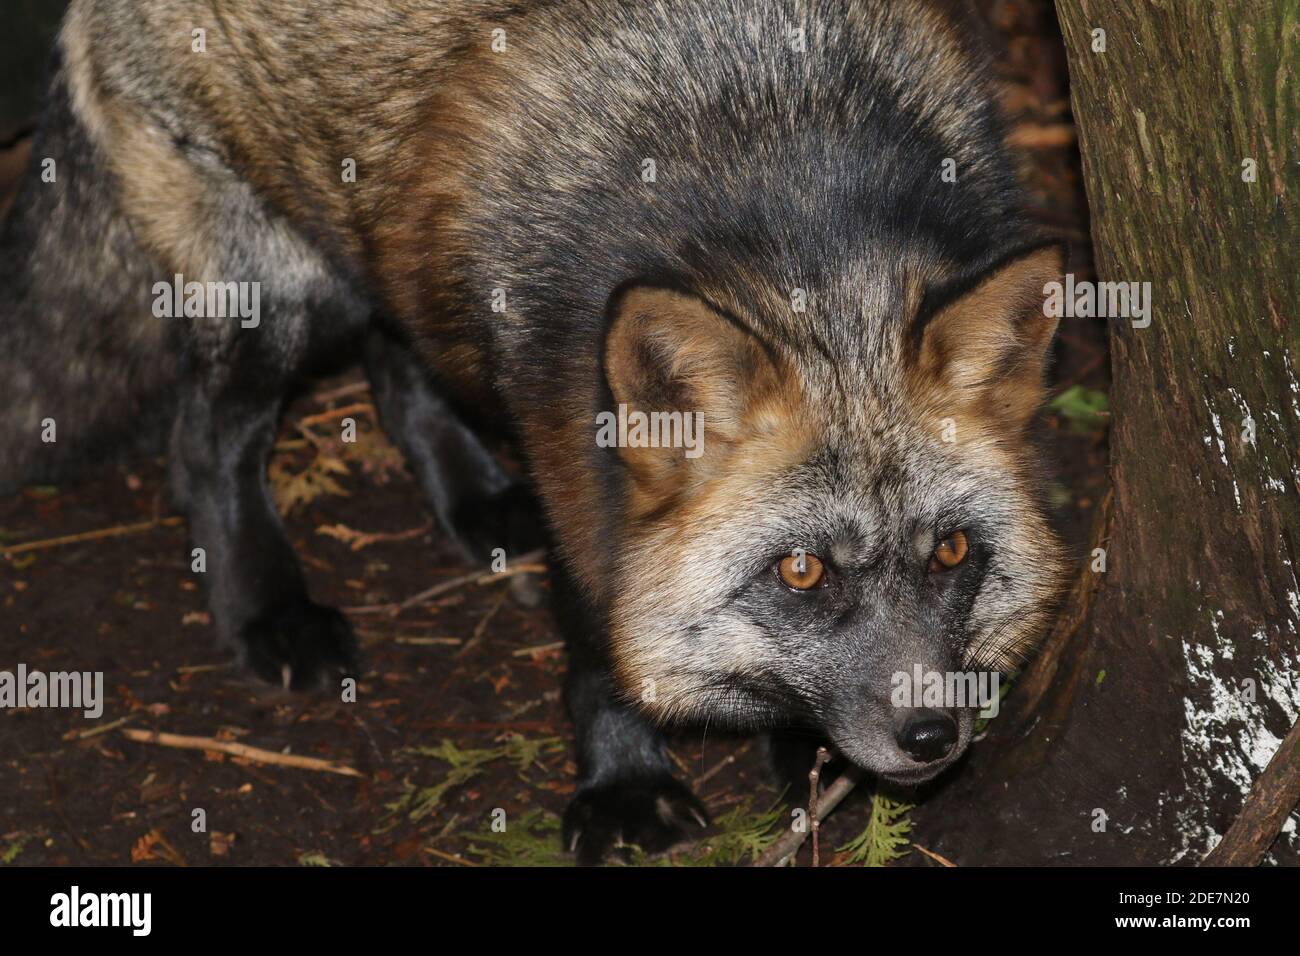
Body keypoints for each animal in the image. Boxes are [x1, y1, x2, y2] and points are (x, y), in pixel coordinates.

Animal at [0, 0, 1070, 863]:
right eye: (801, 572)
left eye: (954, 553)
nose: (931, 737)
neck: (800, 204)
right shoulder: (564, 427)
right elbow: (600, 634)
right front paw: (626, 785)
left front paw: (801, 748)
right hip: (281, 294)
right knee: (206, 441)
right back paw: (270, 612)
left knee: (398, 360)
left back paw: (476, 502)